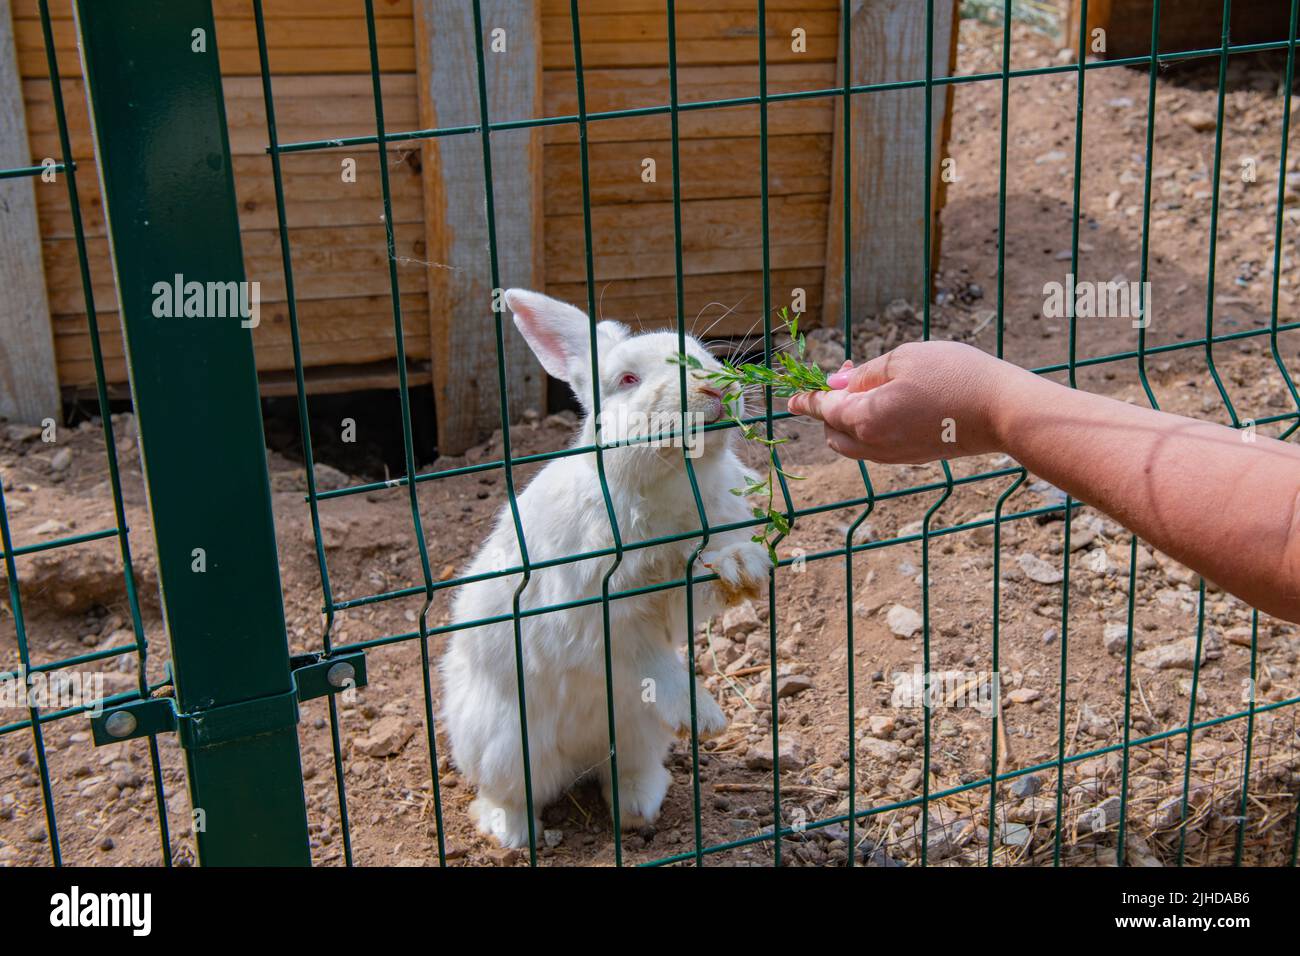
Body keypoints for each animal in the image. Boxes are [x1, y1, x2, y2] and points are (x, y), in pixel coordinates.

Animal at [439, 288, 771, 848]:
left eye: (701, 355)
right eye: (628, 380)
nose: (713, 387)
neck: (667, 483)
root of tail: (579, 761)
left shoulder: (676, 593)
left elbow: (708, 577)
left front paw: (745, 566)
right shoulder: (598, 615)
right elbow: (649, 659)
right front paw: (703, 718)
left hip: (637, 730)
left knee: (626, 770)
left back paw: (638, 808)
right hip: (504, 743)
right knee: (509, 793)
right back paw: (513, 833)